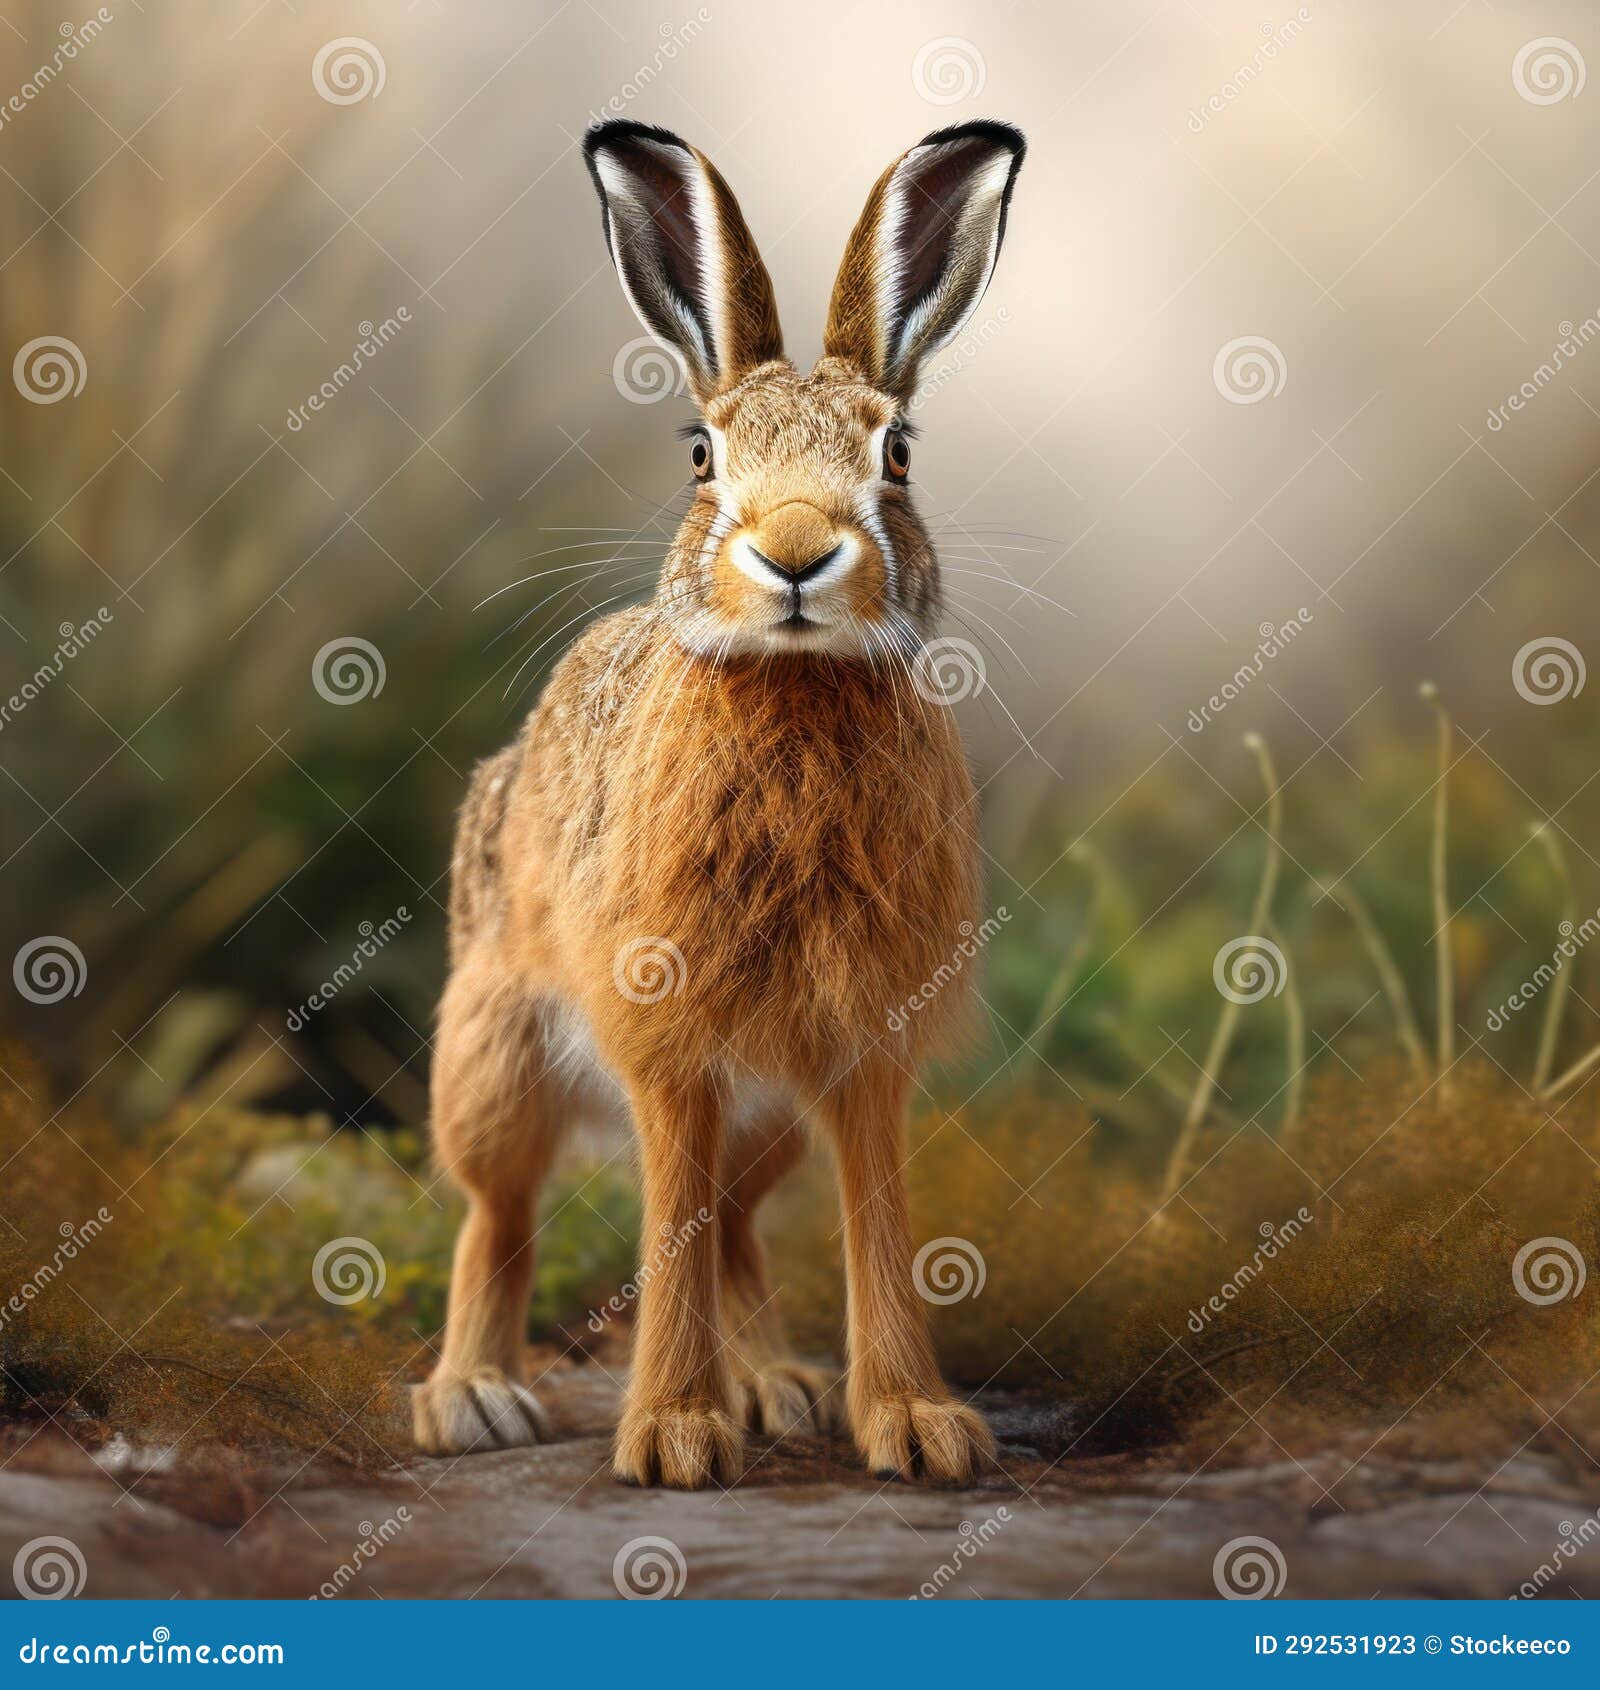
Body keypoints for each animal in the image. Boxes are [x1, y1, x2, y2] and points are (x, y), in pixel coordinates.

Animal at [411, 117, 1026, 1489]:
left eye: (897, 454)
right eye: (702, 456)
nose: (794, 553)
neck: (791, 690)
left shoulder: (860, 1053)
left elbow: (876, 1219)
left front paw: (917, 1423)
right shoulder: (669, 1044)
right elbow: (665, 1228)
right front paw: (670, 1437)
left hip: (768, 1120)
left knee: (737, 1224)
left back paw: (782, 1388)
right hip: (493, 1052)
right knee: (497, 1212)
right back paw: (473, 1400)